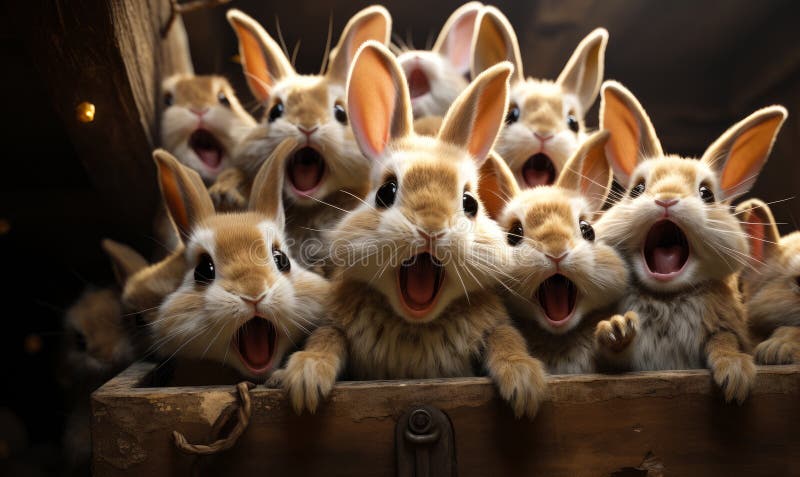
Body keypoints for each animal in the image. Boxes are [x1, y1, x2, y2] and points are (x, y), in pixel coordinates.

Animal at [272, 41, 547, 420]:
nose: (431, 228)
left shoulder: (496, 325)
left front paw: (525, 384)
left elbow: (507, 339)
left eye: (469, 203)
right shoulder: (334, 323)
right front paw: (305, 379)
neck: (415, 322)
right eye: (386, 192)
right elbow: (325, 338)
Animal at [593, 80, 787, 403]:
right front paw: (617, 329)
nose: (667, 199)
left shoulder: (725, 327)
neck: (667, 297)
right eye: (638, 189)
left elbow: (724, 341)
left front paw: (735, 374)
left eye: (707, 193)